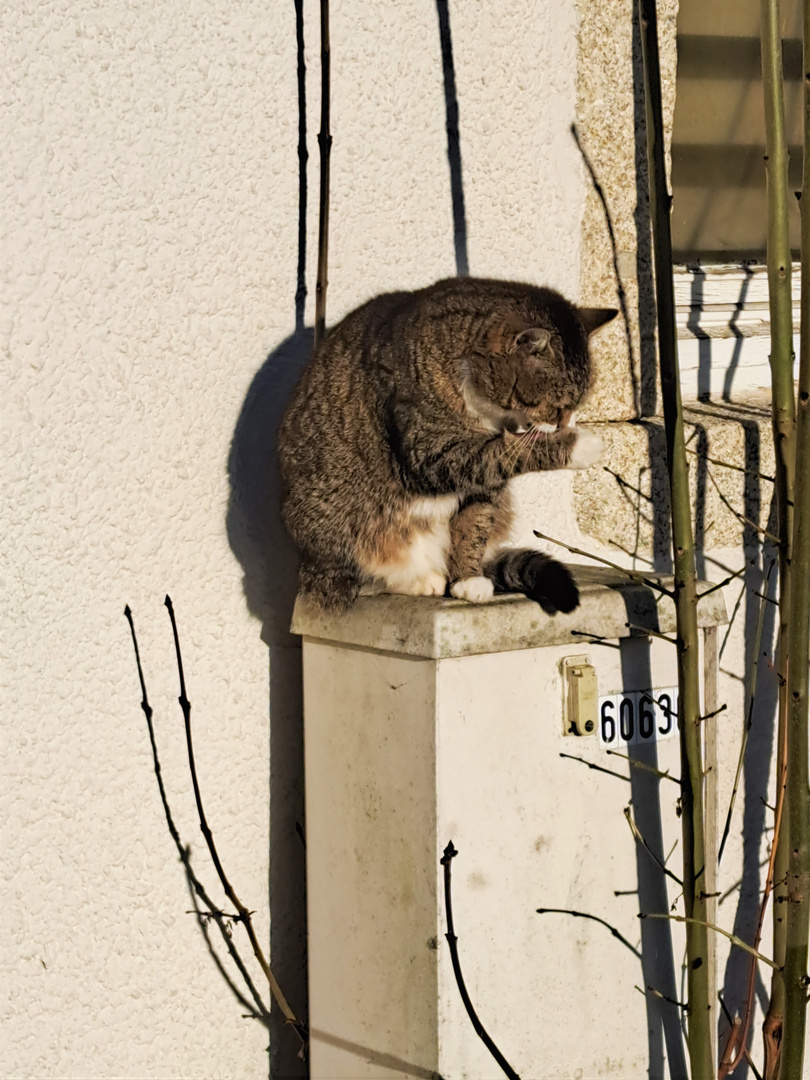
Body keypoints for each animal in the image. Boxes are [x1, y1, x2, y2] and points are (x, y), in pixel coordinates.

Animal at [278, 278, 613, 613]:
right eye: (559, 407)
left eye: (576, 405)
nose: (564, 424)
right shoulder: (431, 452)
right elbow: (505, 451)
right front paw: (579, 445)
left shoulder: (484, 484)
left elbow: (474, 524)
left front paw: (467, 579)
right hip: (338, 529)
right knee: (352, 580)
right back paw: (417, 581)